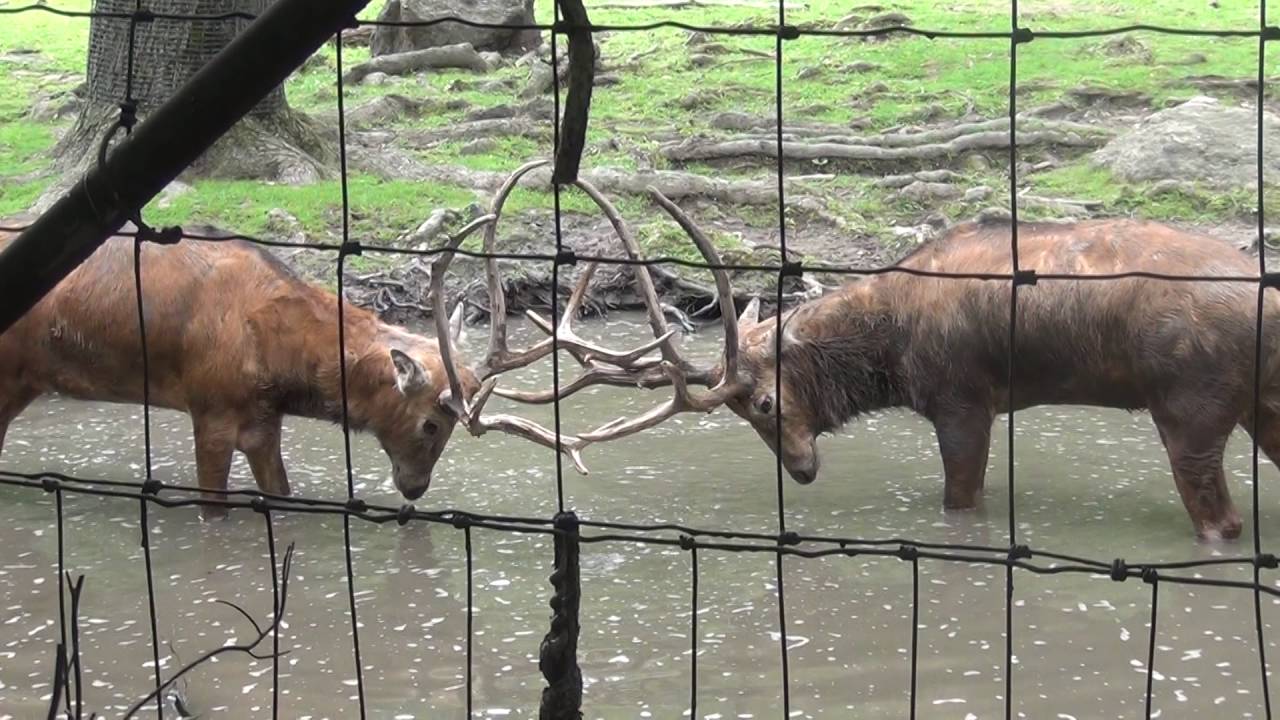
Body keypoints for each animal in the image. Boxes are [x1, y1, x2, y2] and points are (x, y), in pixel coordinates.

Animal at [479, 194, 1280, 542]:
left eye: (760, 404)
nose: (801, 471)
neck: (889, 354)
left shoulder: (962, 399)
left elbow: (962, 498)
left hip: (1191, 406)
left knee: (1221, 519)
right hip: (1264, 404)